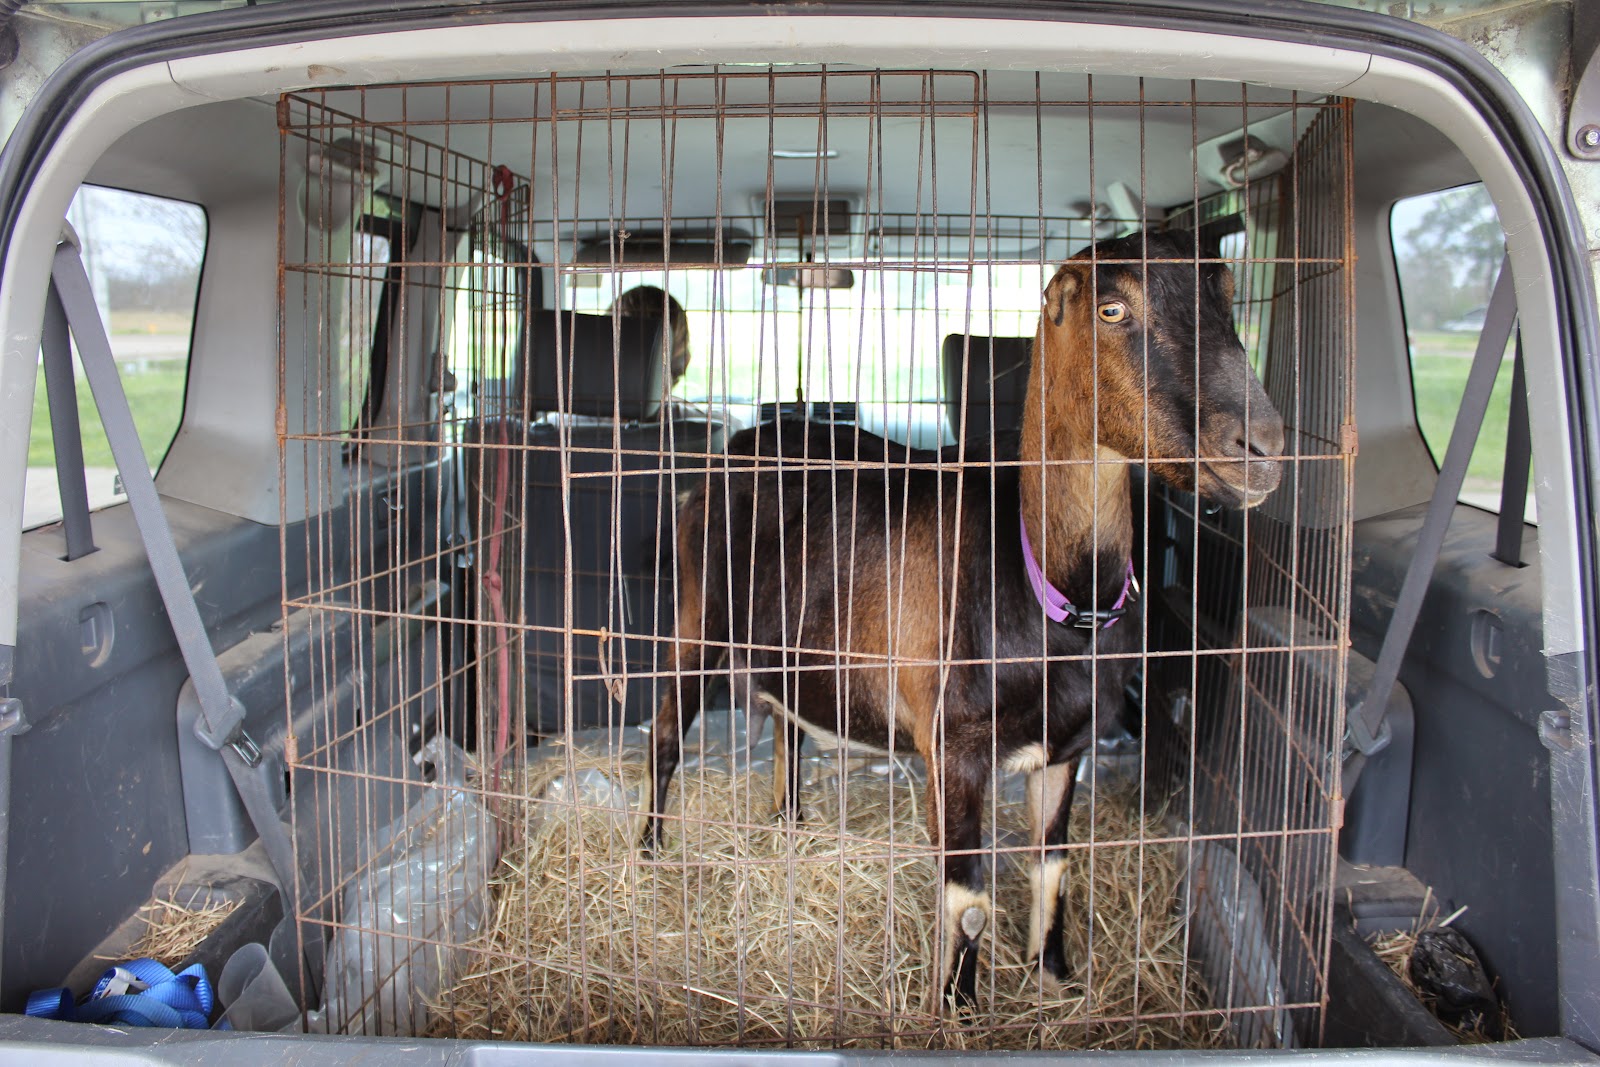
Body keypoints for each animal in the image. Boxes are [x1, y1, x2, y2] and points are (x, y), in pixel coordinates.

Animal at [643, 229, 1286, 1009]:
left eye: (1227, 292)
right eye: (1111, 307)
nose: (1260, 446)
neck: (1052, 591)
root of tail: (734, 449)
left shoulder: (1066, 745)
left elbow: (1053, 864)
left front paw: (1054, 976)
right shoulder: (953, 746)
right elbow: (968, 901)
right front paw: (958, 1008)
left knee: (791, 726)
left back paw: (790, 823)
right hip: (696, 616)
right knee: (666, 732)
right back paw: (650, 851)